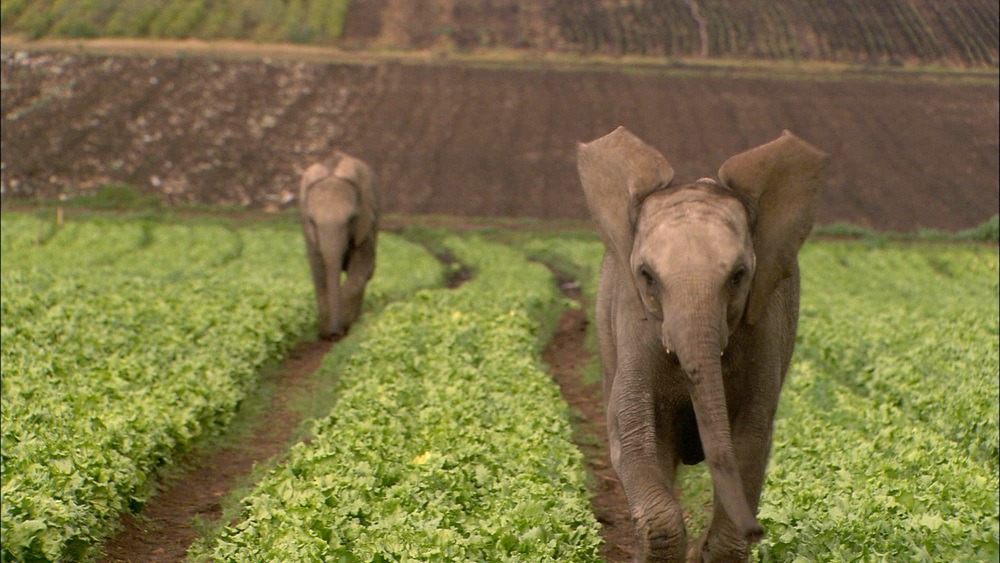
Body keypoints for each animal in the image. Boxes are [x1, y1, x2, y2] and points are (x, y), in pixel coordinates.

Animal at [299, 151, 380, 339]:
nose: (334, 334)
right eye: (312, 221)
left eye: (351, 218)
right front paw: (326, 330)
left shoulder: (367, 224)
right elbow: (318, 270)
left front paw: (346, 325)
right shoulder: (309, 234)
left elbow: (362, 267)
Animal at [577, 127, 828, 561]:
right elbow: (631, 427)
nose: (758, 530)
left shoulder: (765, 324)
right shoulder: (632, 318)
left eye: (738, 275)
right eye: (647, 275)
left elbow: (751, 436)